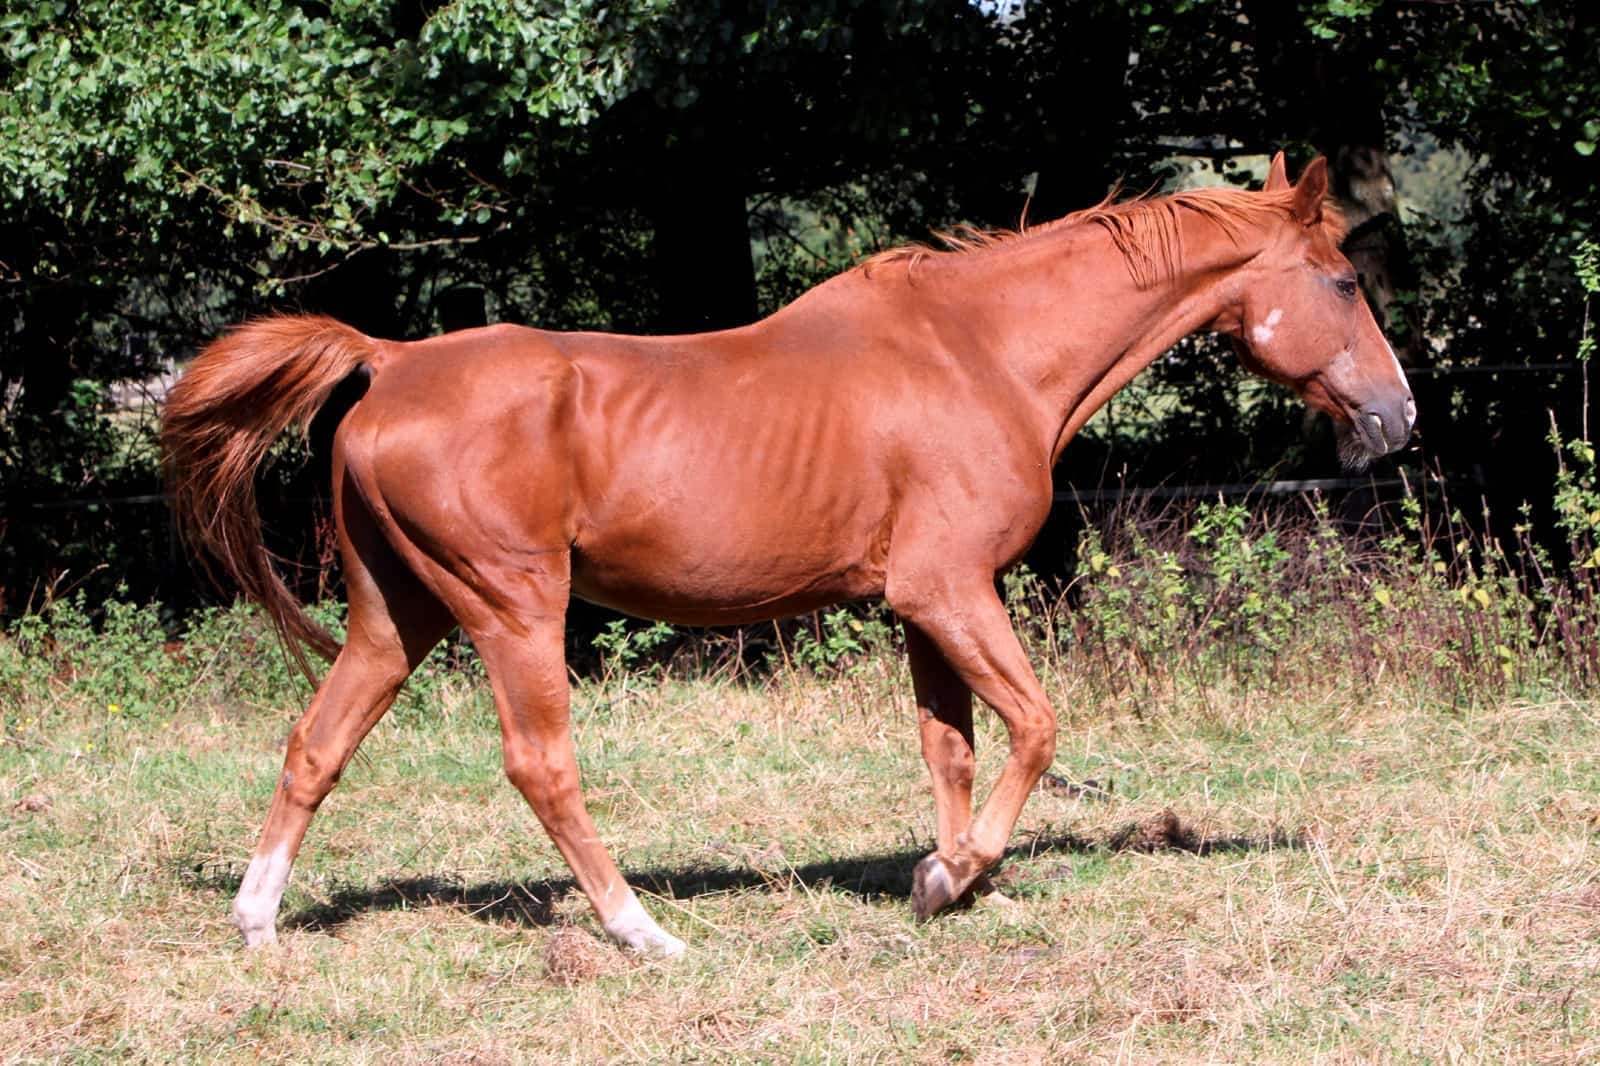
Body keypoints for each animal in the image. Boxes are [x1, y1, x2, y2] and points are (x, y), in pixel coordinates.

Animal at [162, 153, 1413, 957]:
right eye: (1343, 281)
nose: (1396, 418)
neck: (979, 353)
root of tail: (390, 361)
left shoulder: (924, 607)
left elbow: (951, 749)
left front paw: (951, 884)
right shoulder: (950, 589)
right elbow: (1036, 726)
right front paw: (954, 874)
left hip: (396, 617)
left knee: (316, 743)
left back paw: (257, 922)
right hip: (512, 608)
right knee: (540, 767)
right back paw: (642, 931)